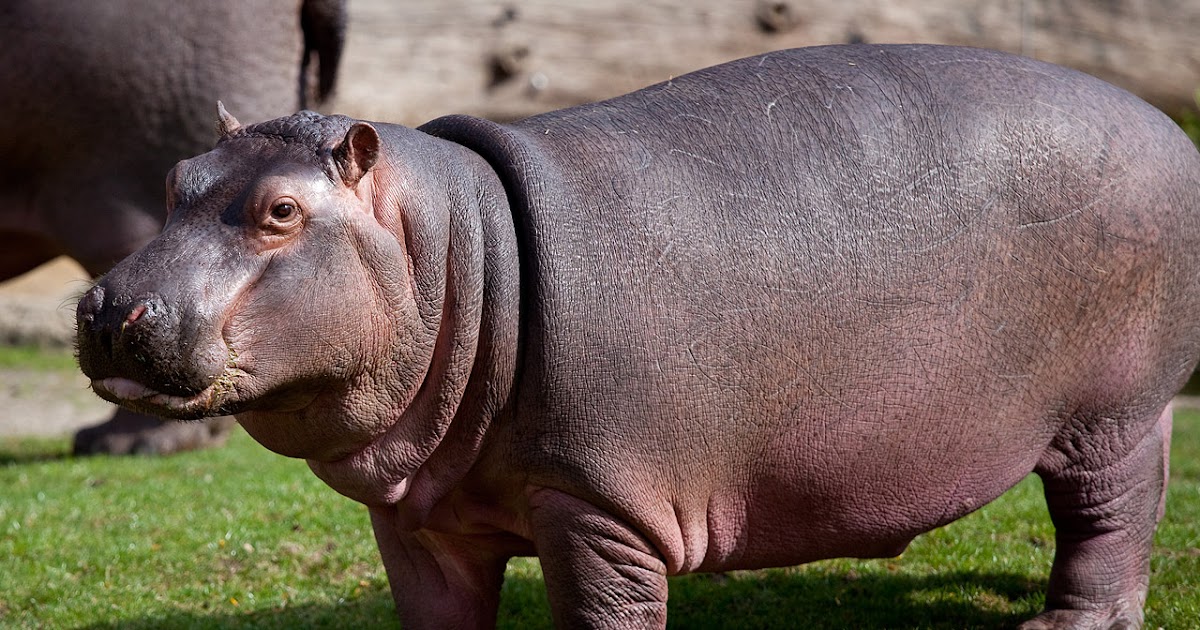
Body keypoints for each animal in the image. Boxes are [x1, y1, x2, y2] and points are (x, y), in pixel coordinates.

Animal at [76, 44, 1200, 628]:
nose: (102, 306)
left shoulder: (600, 502)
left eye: (279, 212)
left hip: (1108, 410)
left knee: (1108, 516)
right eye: (175, 179)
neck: (456, 247)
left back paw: (1062, 623)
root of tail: (1166, 124)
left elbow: (606, 612)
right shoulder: (421, 518)